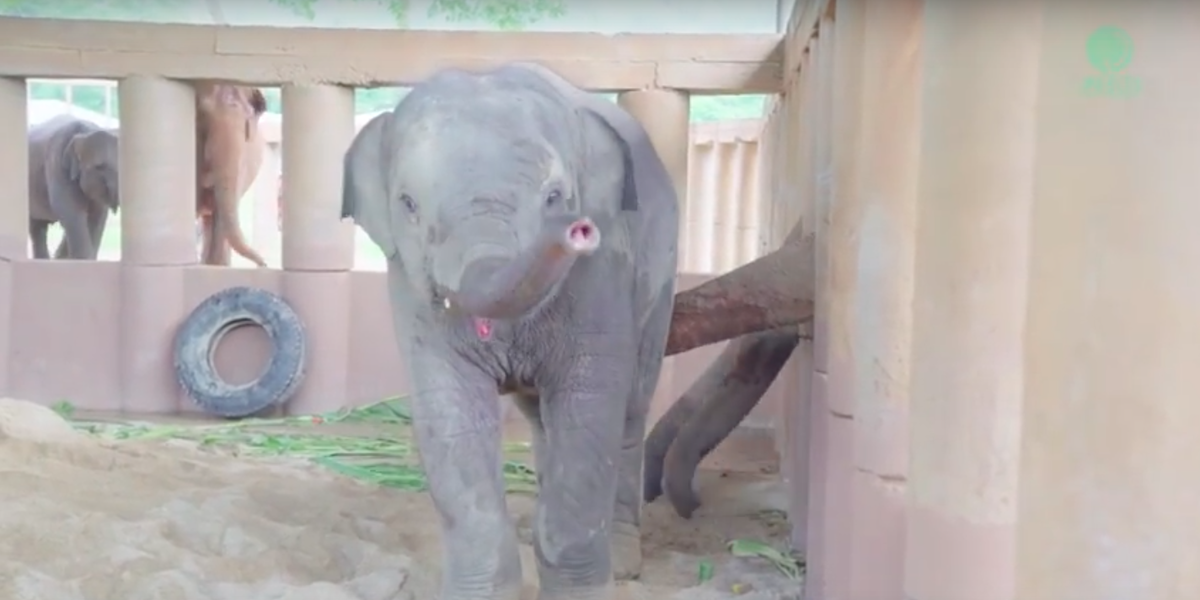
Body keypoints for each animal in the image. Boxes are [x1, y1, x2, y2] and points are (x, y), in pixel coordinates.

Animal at [342, 62, 679, 600]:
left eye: (555, 198)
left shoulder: (605, 269)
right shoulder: (409, 286)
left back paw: (624, 561)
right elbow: (450, 411)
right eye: (408, 204)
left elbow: (589, 407)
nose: (577, 231)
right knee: (541, 419)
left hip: (660, 279)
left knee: (630, 410)